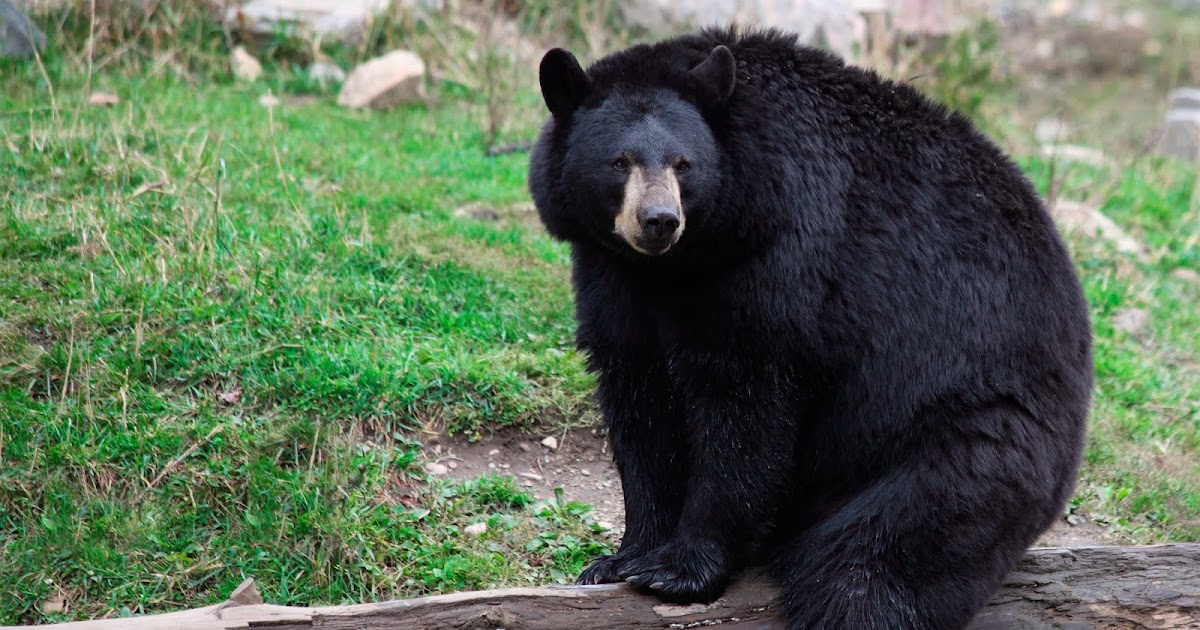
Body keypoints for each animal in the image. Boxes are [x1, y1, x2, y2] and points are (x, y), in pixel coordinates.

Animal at [527, 25, 1092, 630]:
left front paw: (679, 568)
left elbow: (746, 406)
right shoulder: (614, 275)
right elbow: (639, 398)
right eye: (619, 161)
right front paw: (621, 558)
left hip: (963, 436)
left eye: (683, 164)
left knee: (867, 565)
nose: (659, 221)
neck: (682, 263)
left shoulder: (780, 256)